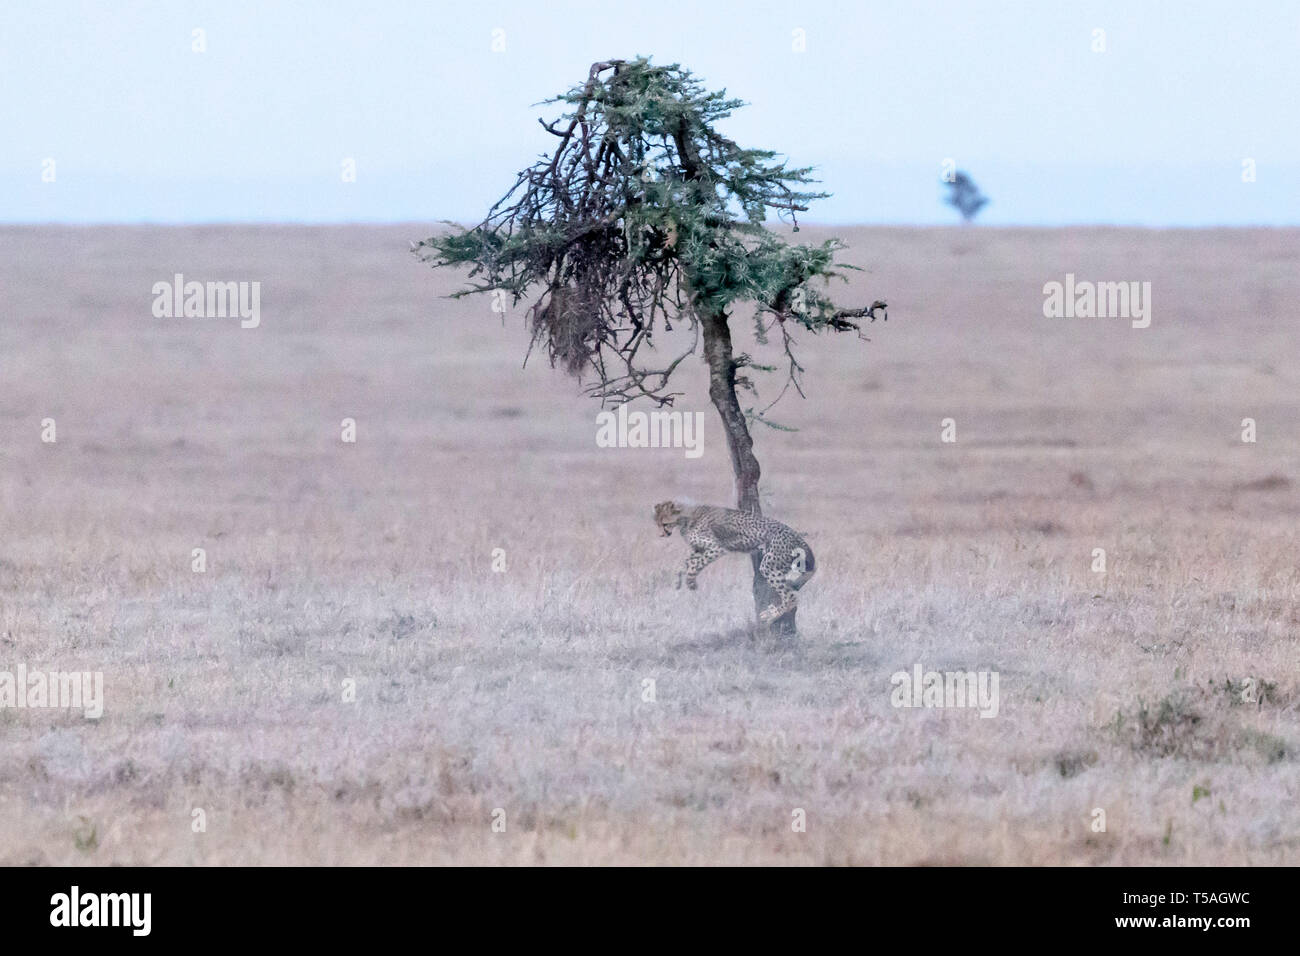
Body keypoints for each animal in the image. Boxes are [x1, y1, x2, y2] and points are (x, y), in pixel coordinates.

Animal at [653, 500, 816, 624]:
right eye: (657, 523)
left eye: (665, 523)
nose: (661, 535)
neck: (685, 517)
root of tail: (798, 536)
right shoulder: (699, 549)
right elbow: (686, 562)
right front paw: (679, 579)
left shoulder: (717, 547)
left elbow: (694, 564)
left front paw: (691, 581)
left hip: (768, 565)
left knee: (791, 597)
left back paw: (770, 615)